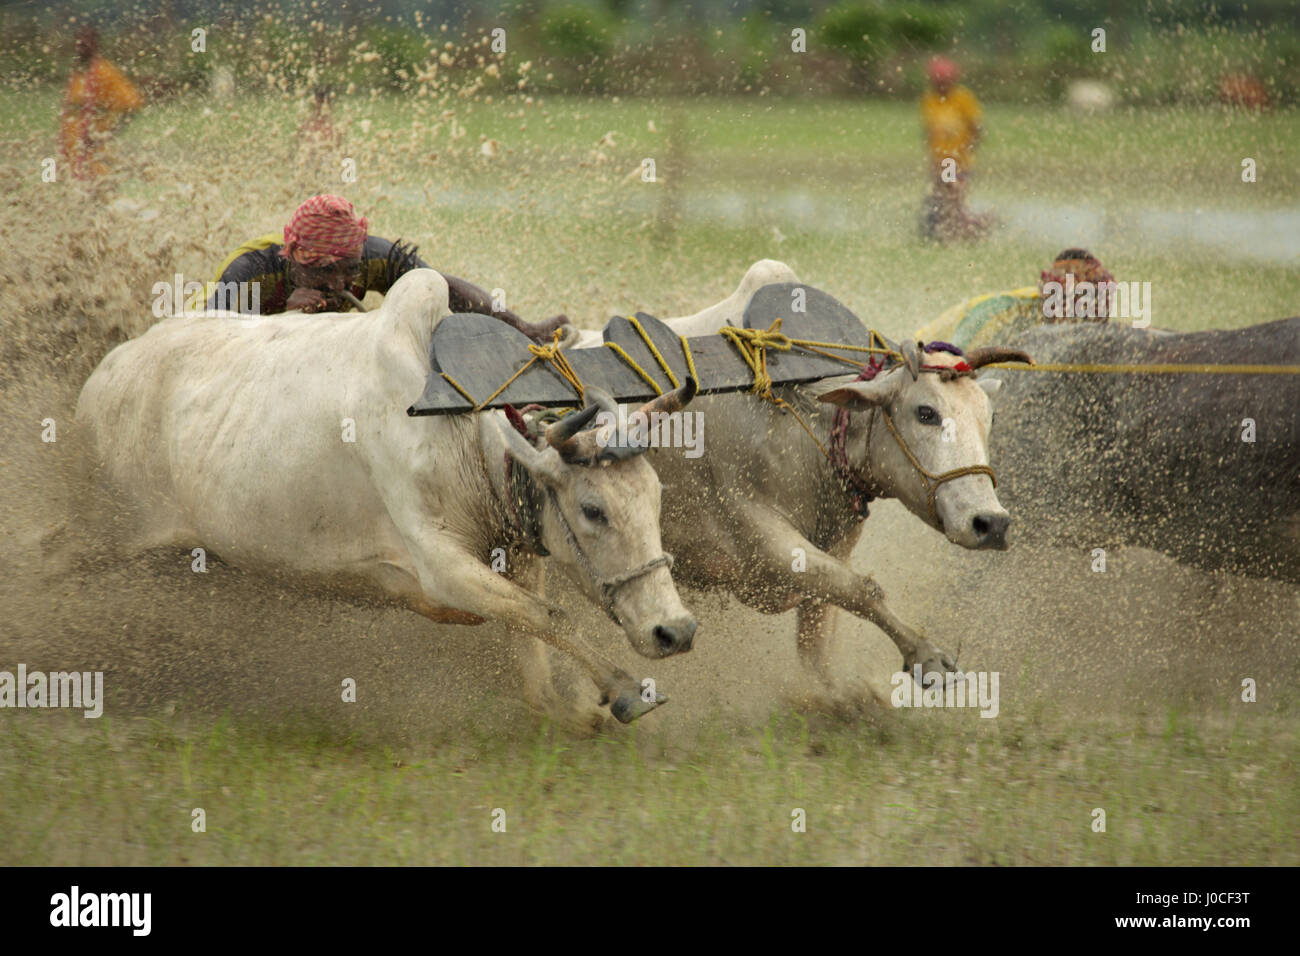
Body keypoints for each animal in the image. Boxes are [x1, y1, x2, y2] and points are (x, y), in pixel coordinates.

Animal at [74, 268, 699, 725]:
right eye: (594, 510)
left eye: (655, 497)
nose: (676, 631)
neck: (463, 436)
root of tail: (108, 371)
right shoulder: (441, 565)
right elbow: (550, 615)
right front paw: (626, 688)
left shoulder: (518, 556)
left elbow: (538, 660)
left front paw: (578, 709)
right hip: (104, 529)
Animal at [541, 260, 1028, 699]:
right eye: (925, 412)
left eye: (989, 416)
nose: (991, 523)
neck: (804, 421)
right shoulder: (765, 543)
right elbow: (863, 591)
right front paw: (928, 657)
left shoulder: (836, 546)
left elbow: (820, 638)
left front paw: (840, 697)